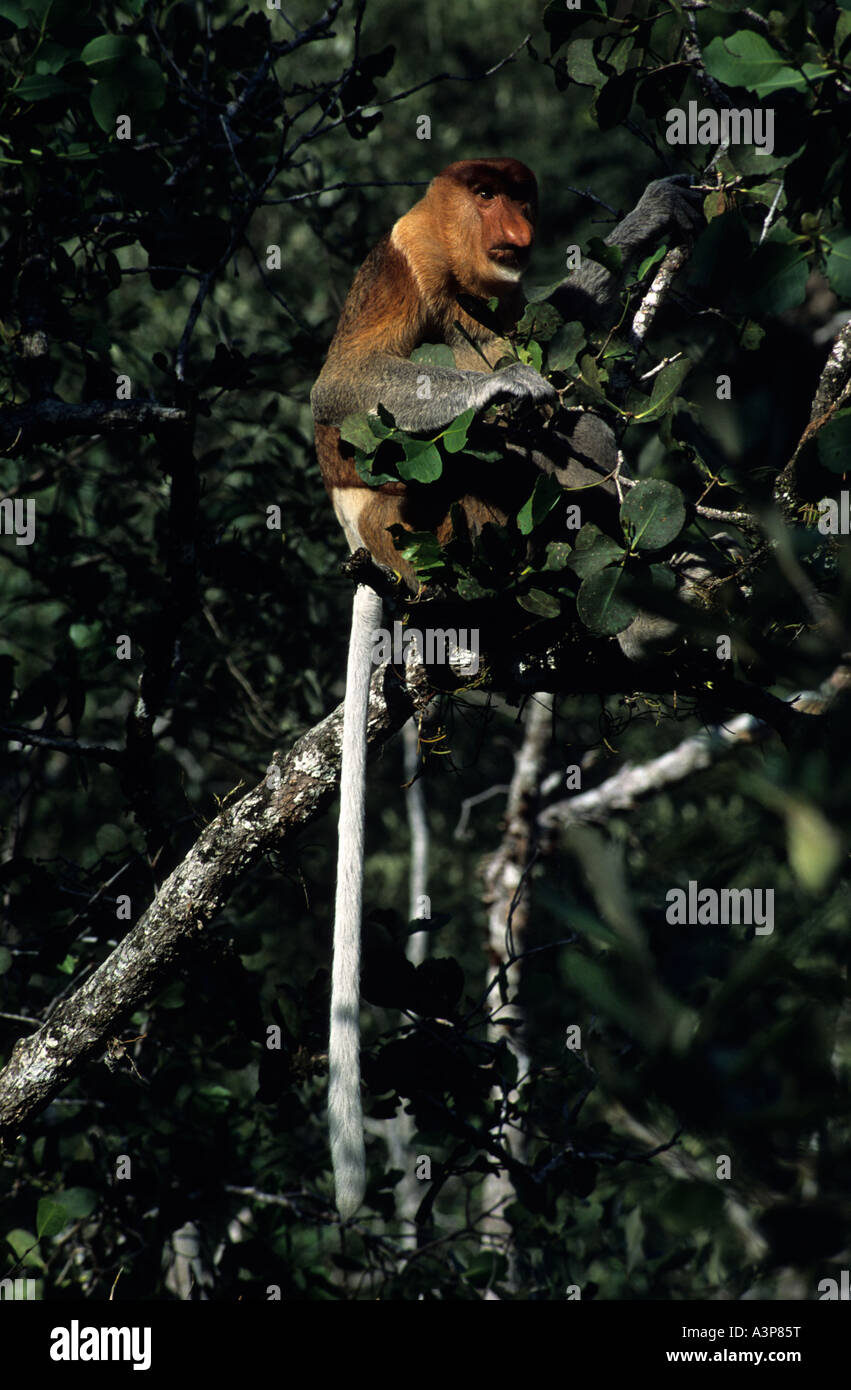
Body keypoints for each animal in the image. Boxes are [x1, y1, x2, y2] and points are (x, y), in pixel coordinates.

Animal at [311, 158, 702, 1219]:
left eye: (521, 196)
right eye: (485, 194)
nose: (517, 227)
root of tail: (366, 558)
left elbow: (553, 322)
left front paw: (654, 211)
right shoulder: (401, 262)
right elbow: (345, 388)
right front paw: (504, 382)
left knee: (571, 425)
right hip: (414, 527)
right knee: (480, 440)